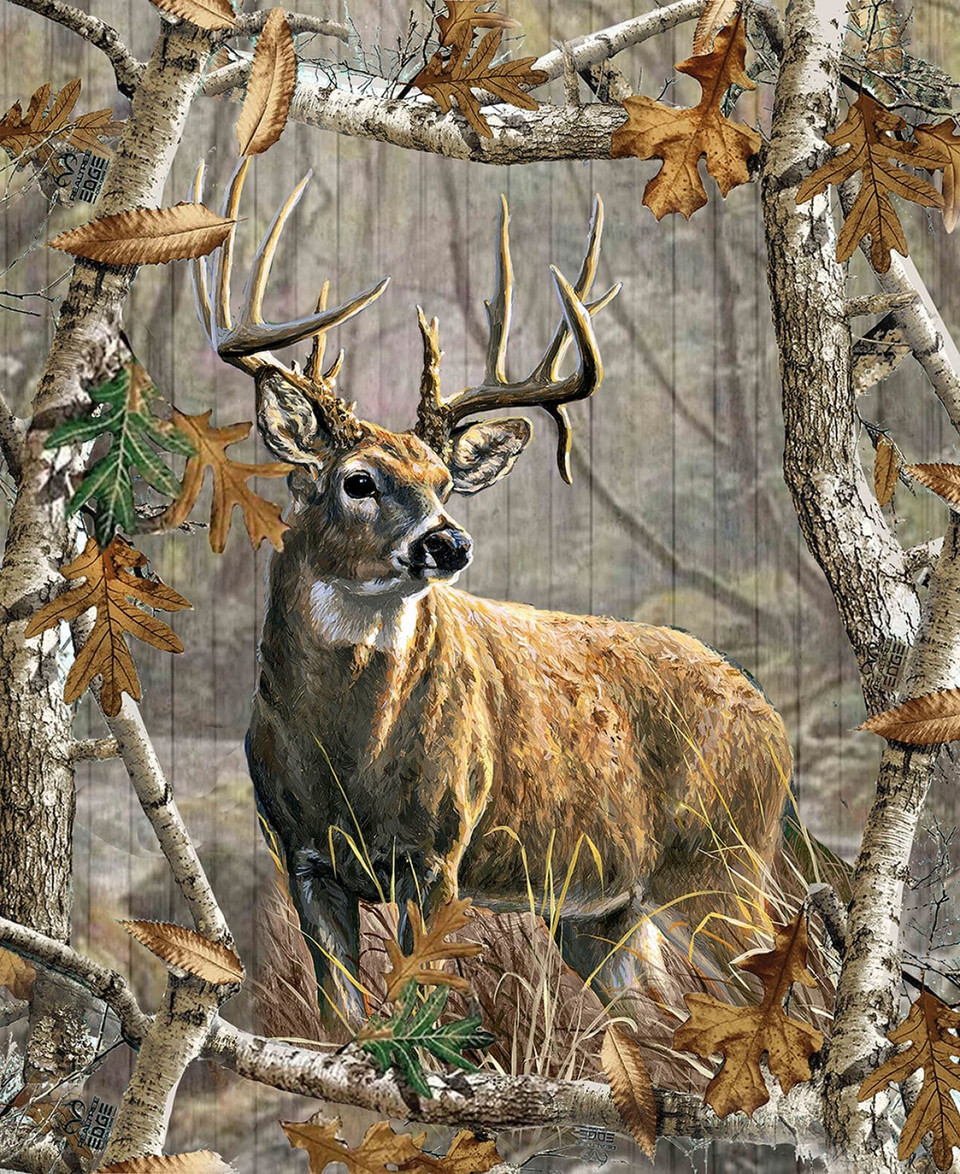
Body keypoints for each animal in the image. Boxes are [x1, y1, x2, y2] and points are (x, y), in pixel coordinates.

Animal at [193, 159, 793, 1023]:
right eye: (357, 480)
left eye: (445, 483)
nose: (448, 542)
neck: (347, 761)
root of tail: (774, 722)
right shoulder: (301, 858)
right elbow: (343, 1024)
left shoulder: (441, 850)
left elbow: (421, 1007)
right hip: (607, 913)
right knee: (658, 1018)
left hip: (722, 861)